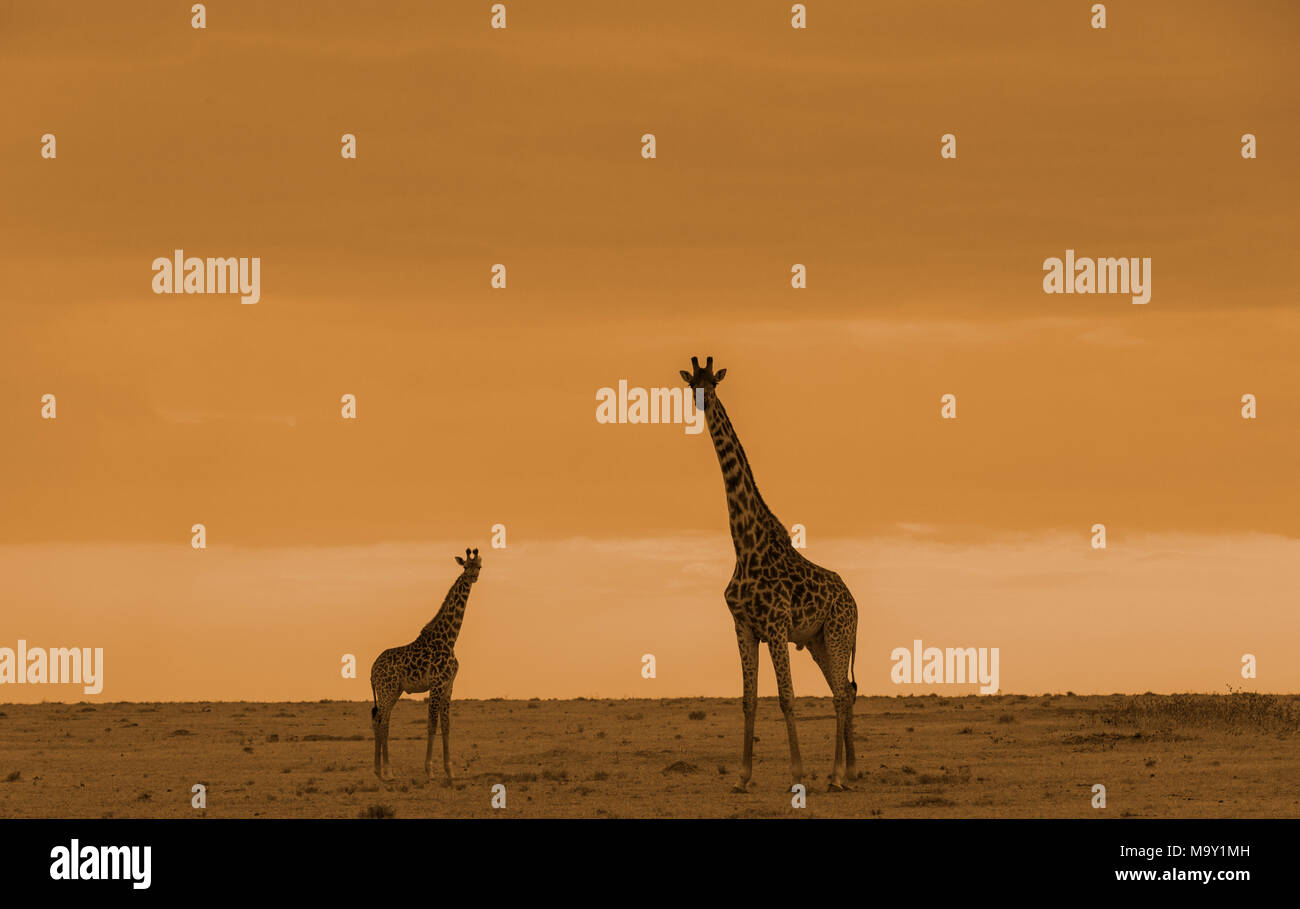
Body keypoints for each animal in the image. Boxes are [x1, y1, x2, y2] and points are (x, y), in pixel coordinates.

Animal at [369, 547, 481, 783]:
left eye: (479, 566)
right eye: (465, 566)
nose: (473, 576)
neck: (450, 638)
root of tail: (372, 670)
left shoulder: (449, 686)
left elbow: (446, 725)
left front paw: (450, 770)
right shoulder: (436, 684)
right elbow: (432, 724)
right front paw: (429, 770)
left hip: (393, 691)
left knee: (381, 720)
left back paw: (381, 771)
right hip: (386, 690)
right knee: (381, 721)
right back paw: (386, 771)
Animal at [680, 356, 860, 792]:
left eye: (713, 384)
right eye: (692, 383)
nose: (701, 402)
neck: (745, 545)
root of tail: (855, 603)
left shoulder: (776, 626)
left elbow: (786, 696)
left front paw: (796, 774)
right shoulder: (744, 626)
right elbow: (749, 700)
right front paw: (743, 777)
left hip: (837, 633)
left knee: (841, 693)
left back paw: (837, 775)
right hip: (817, 641)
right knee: (842, 691)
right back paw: (844, 772)